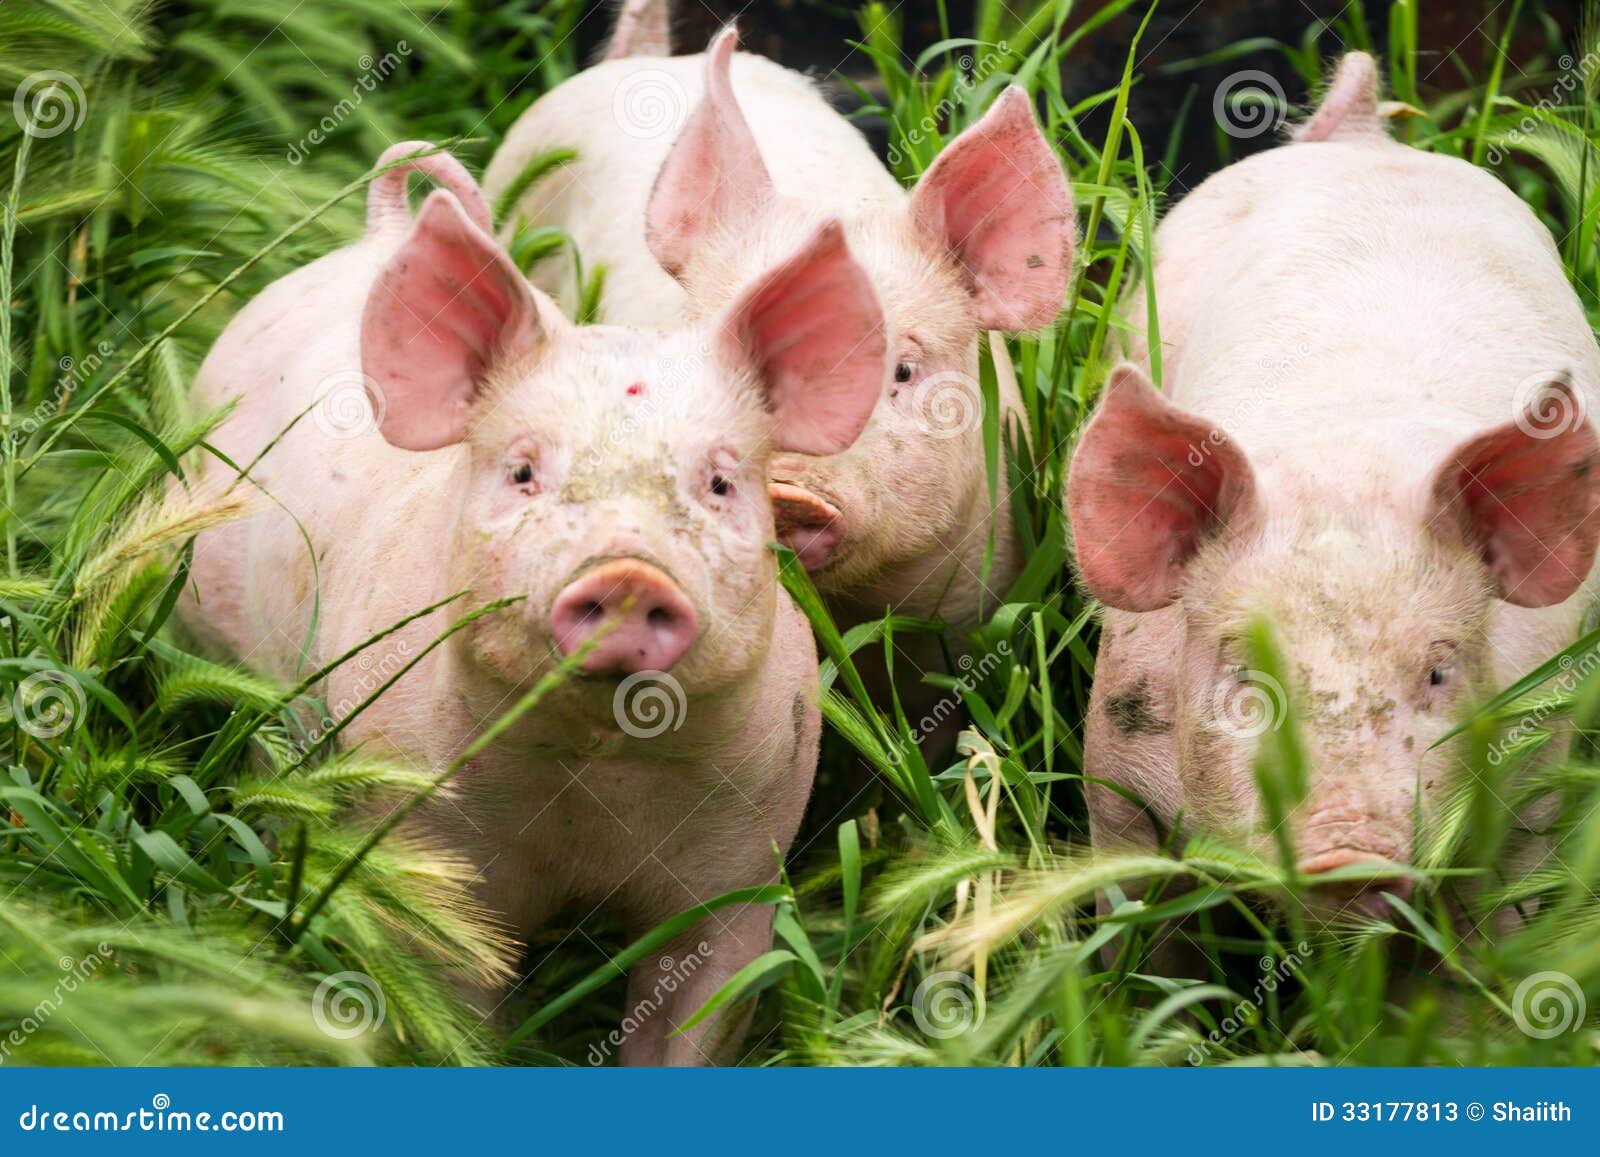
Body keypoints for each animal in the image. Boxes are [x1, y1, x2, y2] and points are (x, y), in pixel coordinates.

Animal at [183, 141, 889, 1063]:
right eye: (523, 471)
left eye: (721, 482)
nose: (629, 574)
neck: (594, 774)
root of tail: (382, 232)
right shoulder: (421, 842)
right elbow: (454, 1000)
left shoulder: (743, 858)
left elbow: (693, 1014)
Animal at [1067, 54, 1600, 921]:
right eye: (1245, 680)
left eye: (1439, 673)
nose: (1347, 853)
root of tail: (1364, 137)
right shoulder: (1117, 763)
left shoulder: (1535, 779)